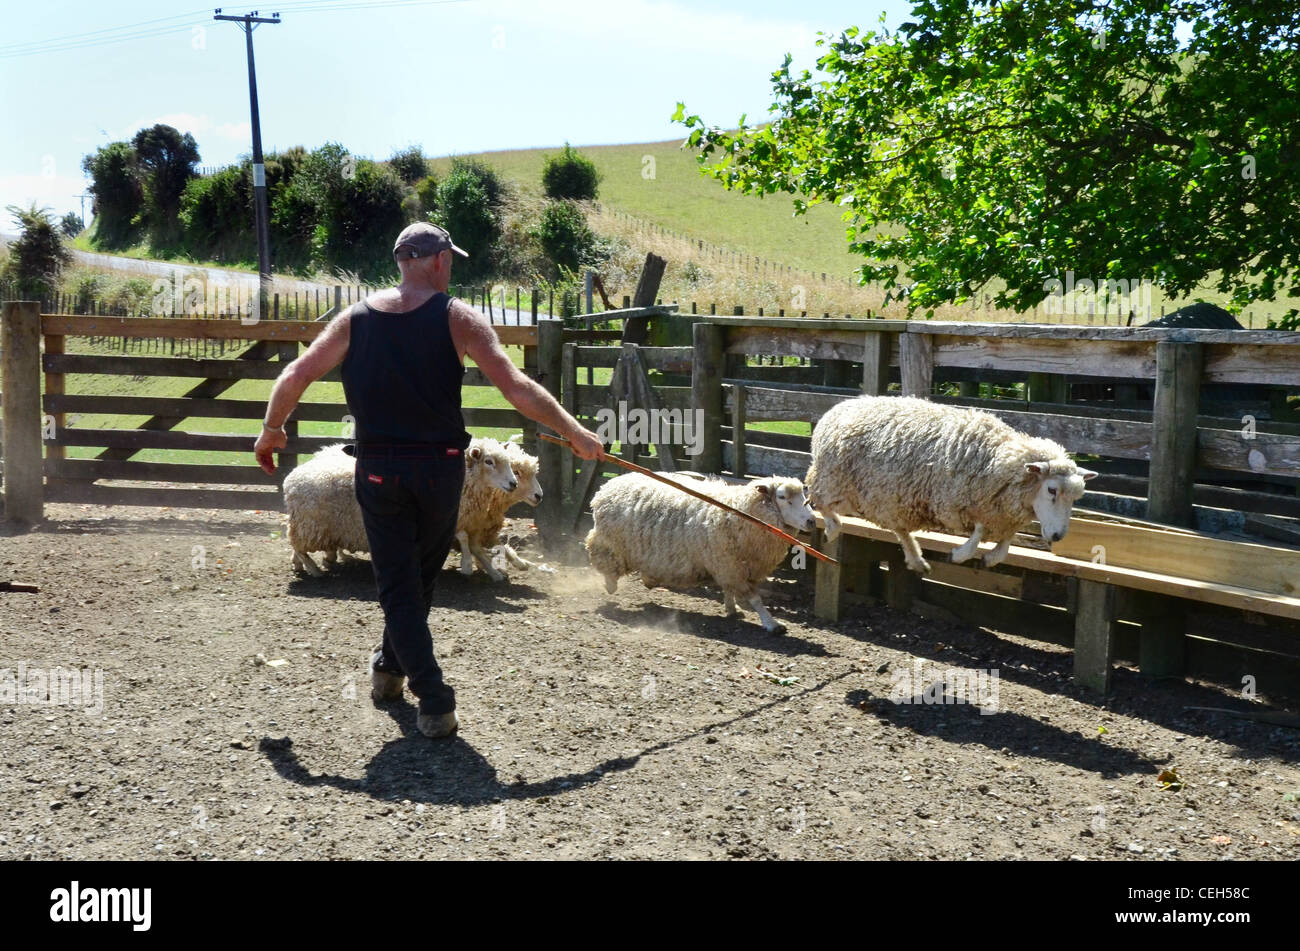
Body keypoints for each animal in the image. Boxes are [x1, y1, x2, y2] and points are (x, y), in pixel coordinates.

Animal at [282, 439, 517, 576]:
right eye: (489, 461)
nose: (513, 483)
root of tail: (291, 478)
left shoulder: (471, 523)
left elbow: (476, 547)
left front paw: (494, 572)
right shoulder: (452, 520)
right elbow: (465, 541)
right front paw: (468, 566)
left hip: (315, 526)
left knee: (298, 546)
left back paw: (305, 564)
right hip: (309, 525)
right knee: (297, 545)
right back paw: (313, 569)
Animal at [585, 472, 816, 633]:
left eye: (804, 496)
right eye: (782, 497)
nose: (812, 521)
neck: (739, 512)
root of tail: (610, 484)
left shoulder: (729, 565)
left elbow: (729, 590)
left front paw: (732, 609)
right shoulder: (729, 565)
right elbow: (755, 598)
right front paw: (771, 623)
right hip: (609, 541)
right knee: (601, 558)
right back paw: (610, 585)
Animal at [806, 396, 1097, 575]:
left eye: (1076, 498)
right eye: (1051, 490)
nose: (1057, 536)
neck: (1001, 460)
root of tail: (836, 410)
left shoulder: (1001, 513)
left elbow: (1004, 544)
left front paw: (989, 558)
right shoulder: (962, 502)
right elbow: (978, 535)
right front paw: (959, 554)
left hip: (886, 498)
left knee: (899, 529)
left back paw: (917, 560)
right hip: (833, 480)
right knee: (818, 501)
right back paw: (832, 527)